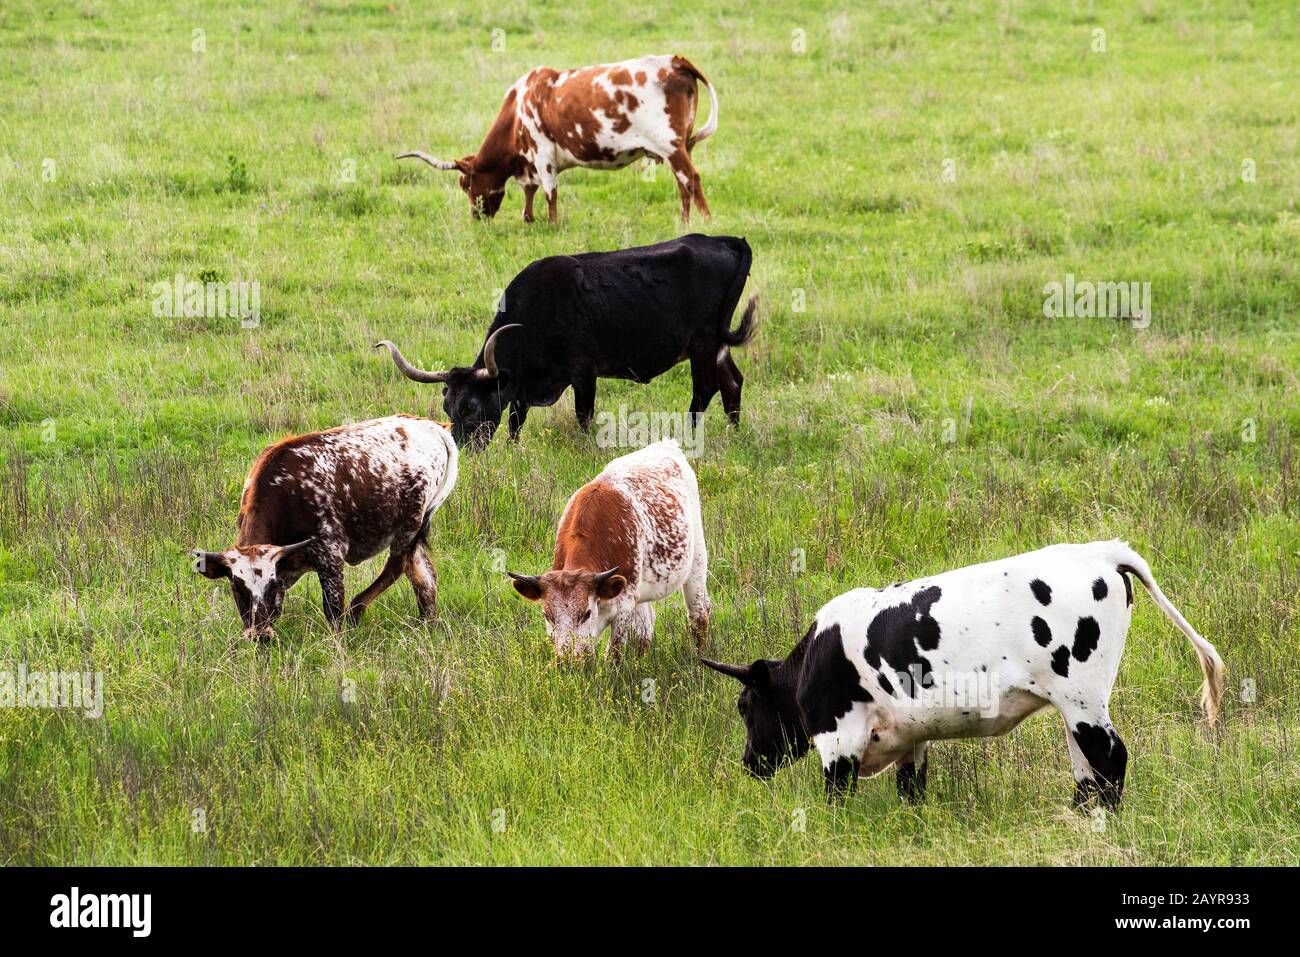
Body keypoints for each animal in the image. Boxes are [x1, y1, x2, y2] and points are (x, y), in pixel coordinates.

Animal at [191, 415, 458, 639]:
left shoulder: (330, 556)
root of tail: (430, 426)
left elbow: (333, 611)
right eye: (237, 589)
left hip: (409, 526)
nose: (260, 636)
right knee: (424, 577)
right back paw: (426, 625)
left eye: (271, 585)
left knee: (397, 566)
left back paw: (357, 609)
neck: (288, 493)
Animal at [375, 233, 757, 449]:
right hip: (715, 347)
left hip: (704, 344)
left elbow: (583, 416)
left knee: (705, 389)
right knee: (732, 382)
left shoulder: (584, 372)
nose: (458, 450)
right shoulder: (523, 387)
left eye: (470, 406)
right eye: (447, 407)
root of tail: (723, 240)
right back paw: (734, 434)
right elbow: (515, 421)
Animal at [397, 54, 718, 222]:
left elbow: (550, 191)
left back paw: (704, 221)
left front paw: (551, 223)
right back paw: (684, 223)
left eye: (465, 184)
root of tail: (675, 61)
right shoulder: (529, 162)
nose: (477, 218)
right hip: (679, 148)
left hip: (671, 146)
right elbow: (530, 190)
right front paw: (528, 219)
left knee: (691, 180)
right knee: (683, 185)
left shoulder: (542, 154)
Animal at [506, 439, 709, 660]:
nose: (567, 659)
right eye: (547, 615)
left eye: (586, 613)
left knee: (699, 613)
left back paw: (698, 657)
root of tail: (667, 444)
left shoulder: (624, 604)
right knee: (645, 627)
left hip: (697, 560)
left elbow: (614, 653)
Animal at [701, 541, 1224, 809]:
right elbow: (911, 791)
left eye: (745, 707)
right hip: (1075, 706)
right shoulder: (910, 737)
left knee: (1110, 759)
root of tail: (1099, 551)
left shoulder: (838, 739)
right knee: (1087, 769)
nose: (749, 763)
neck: (815, 656)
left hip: (1083, 699)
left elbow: (836, 798)